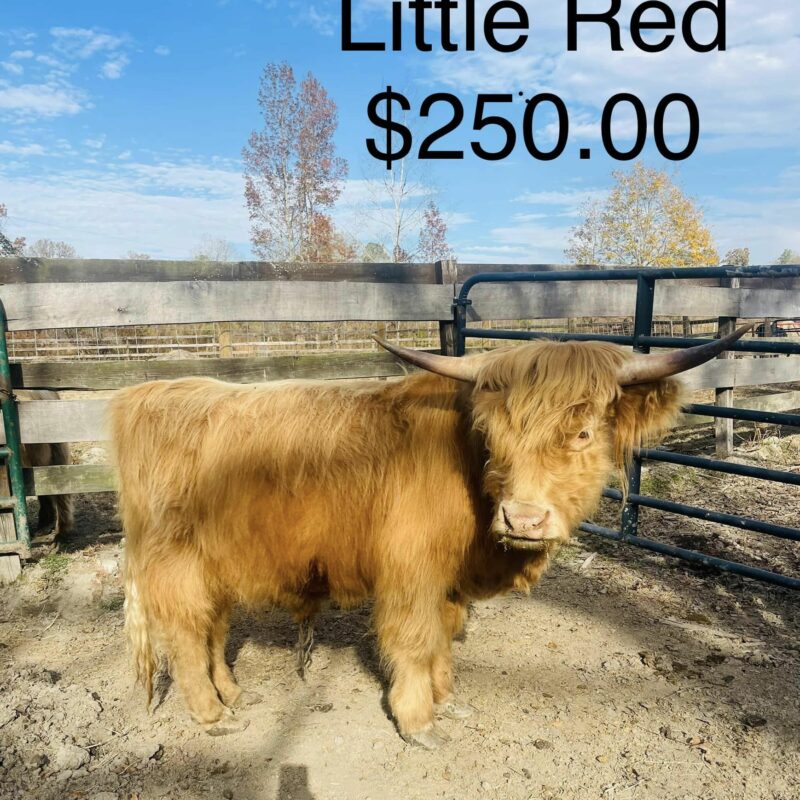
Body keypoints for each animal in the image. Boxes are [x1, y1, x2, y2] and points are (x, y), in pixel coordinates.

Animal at [111, 326, 749, 747]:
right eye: (494, 437)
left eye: (584, 432)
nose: (523, 519)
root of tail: (148, 393)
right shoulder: (410, 571)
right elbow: (415, 640)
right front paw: (418, 720)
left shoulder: (448, 580)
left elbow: (445, 632)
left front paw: (445, 694)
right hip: (176, 562)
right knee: (187, 635)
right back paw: (212, 713)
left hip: (213, 562)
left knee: (212, 629)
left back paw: (231, 693)